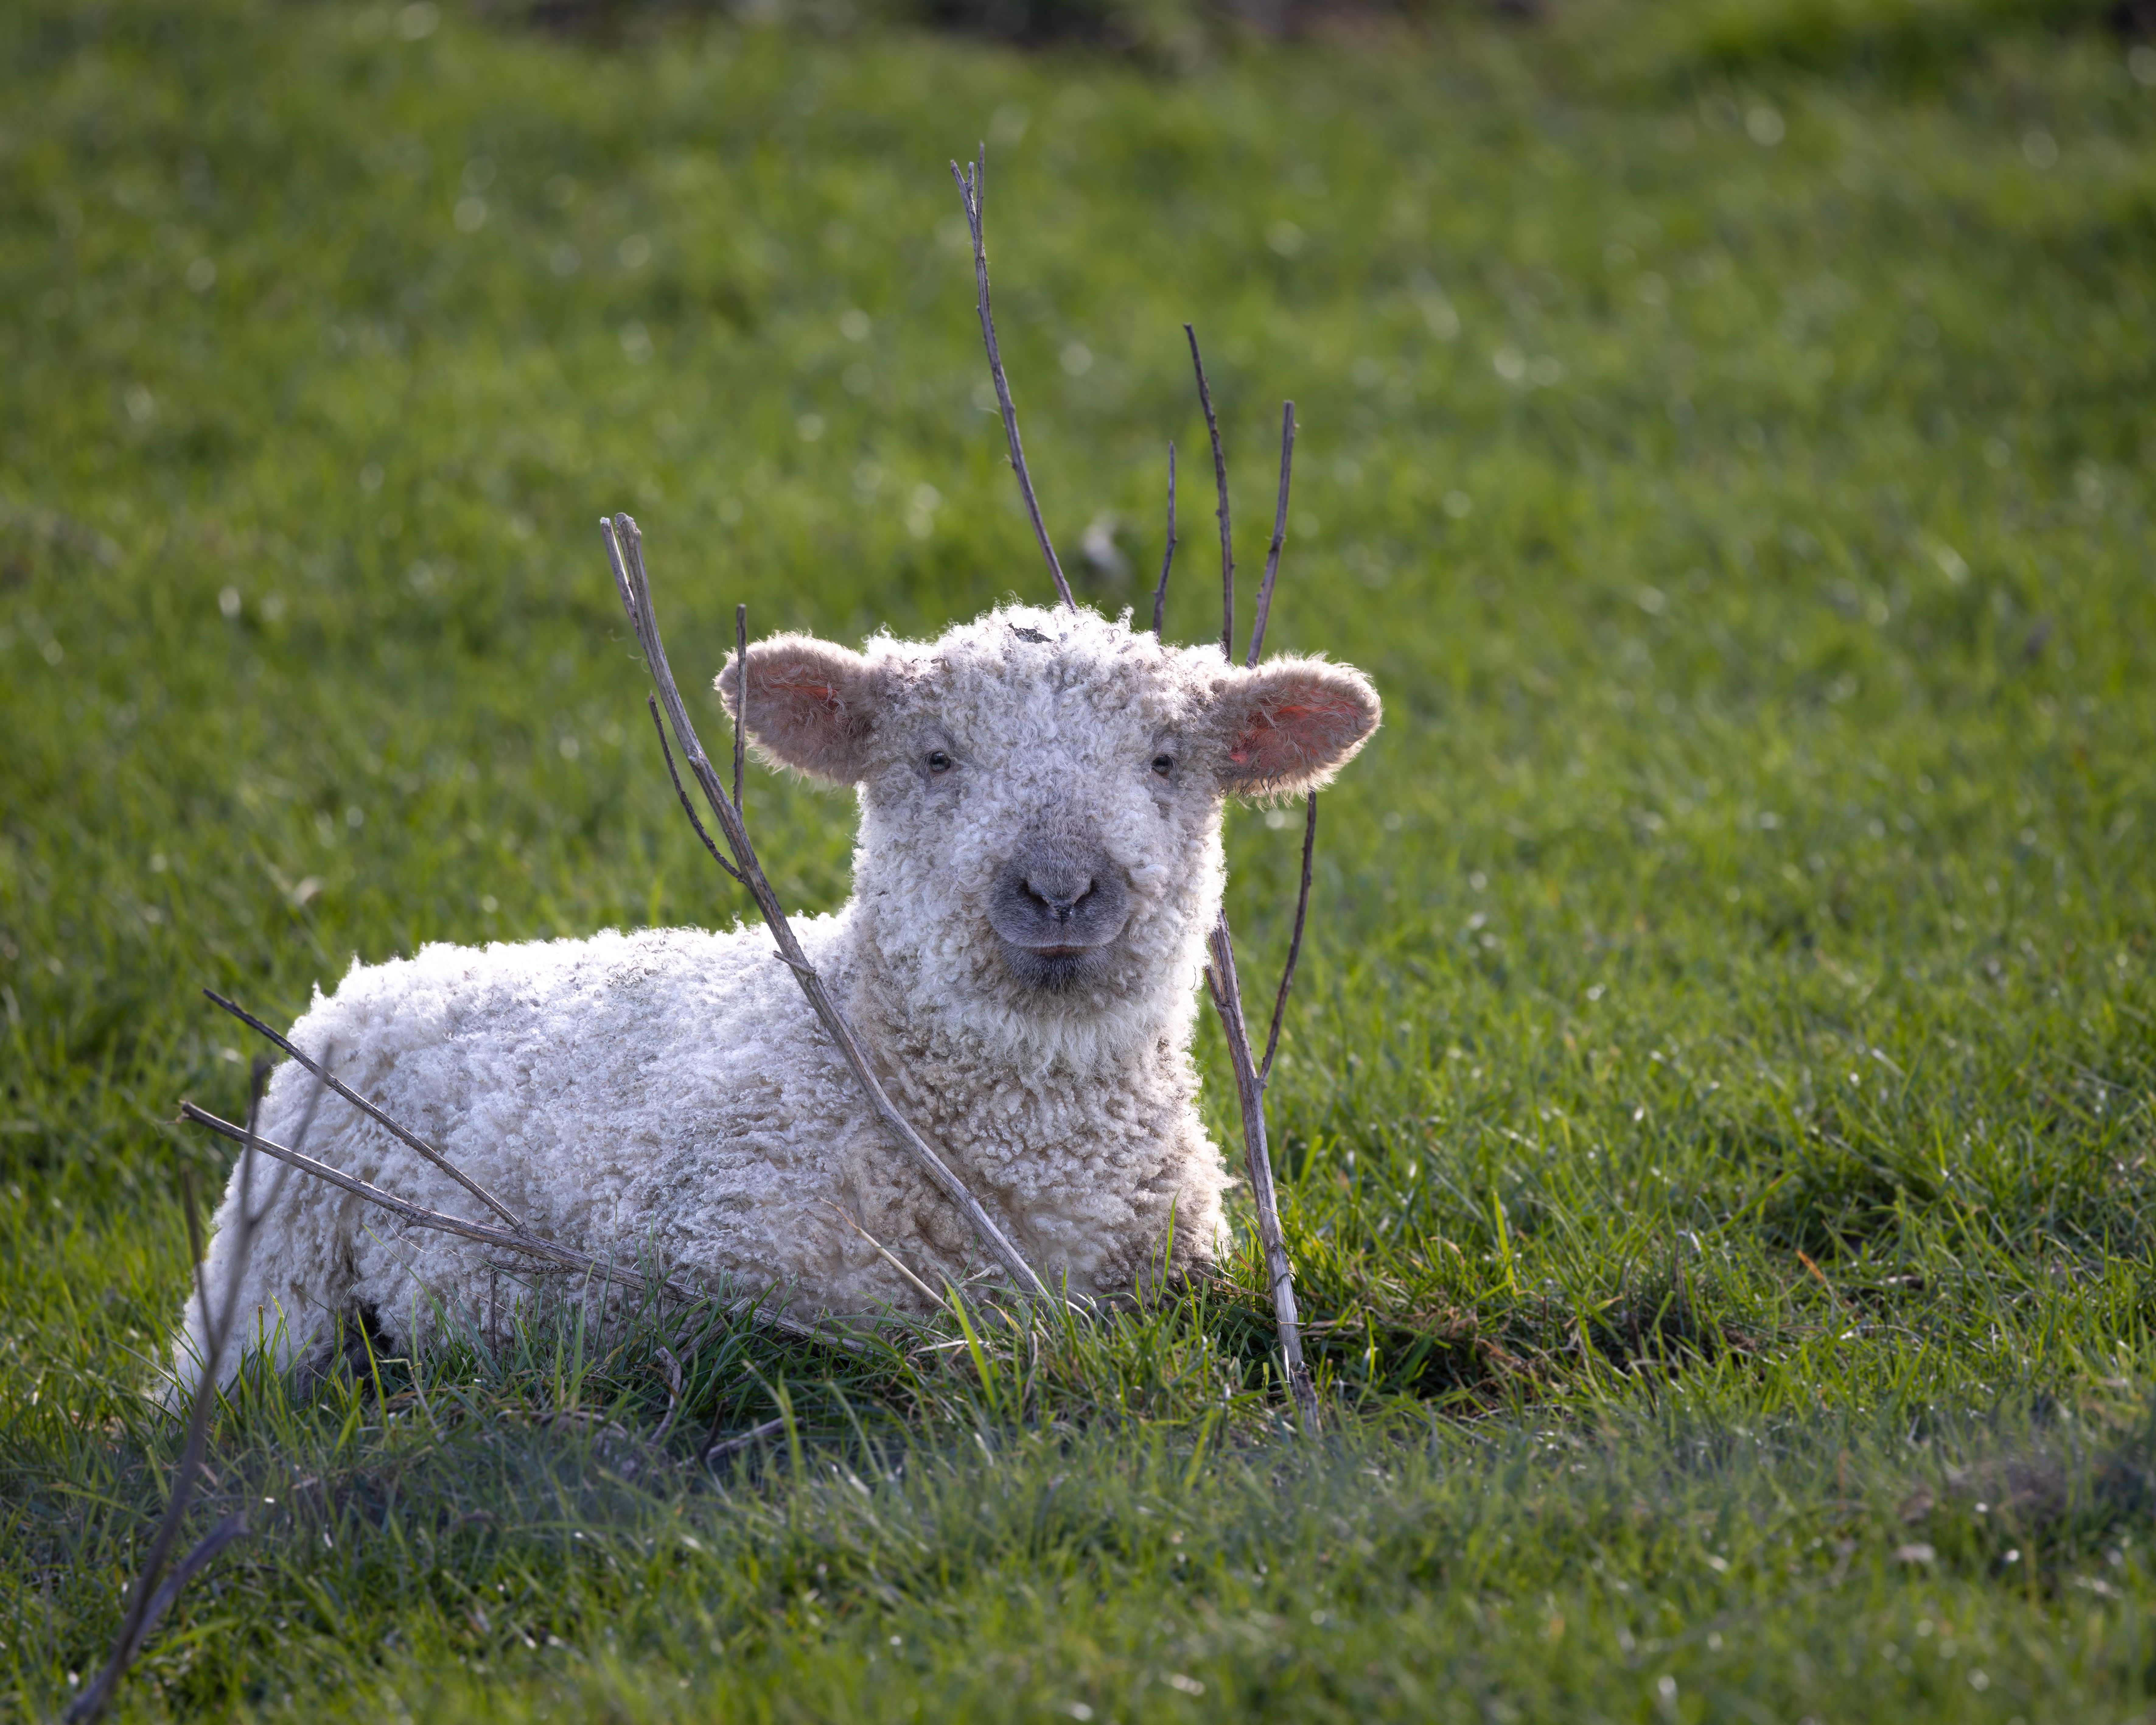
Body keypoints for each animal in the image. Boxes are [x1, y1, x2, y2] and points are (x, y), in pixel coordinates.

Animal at [170, 600, 1380, 1395]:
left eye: (1169, 760)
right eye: (936, 758)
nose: (1058, 887)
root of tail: (378, 974)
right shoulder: (752, 1294)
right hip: (272, 1266)